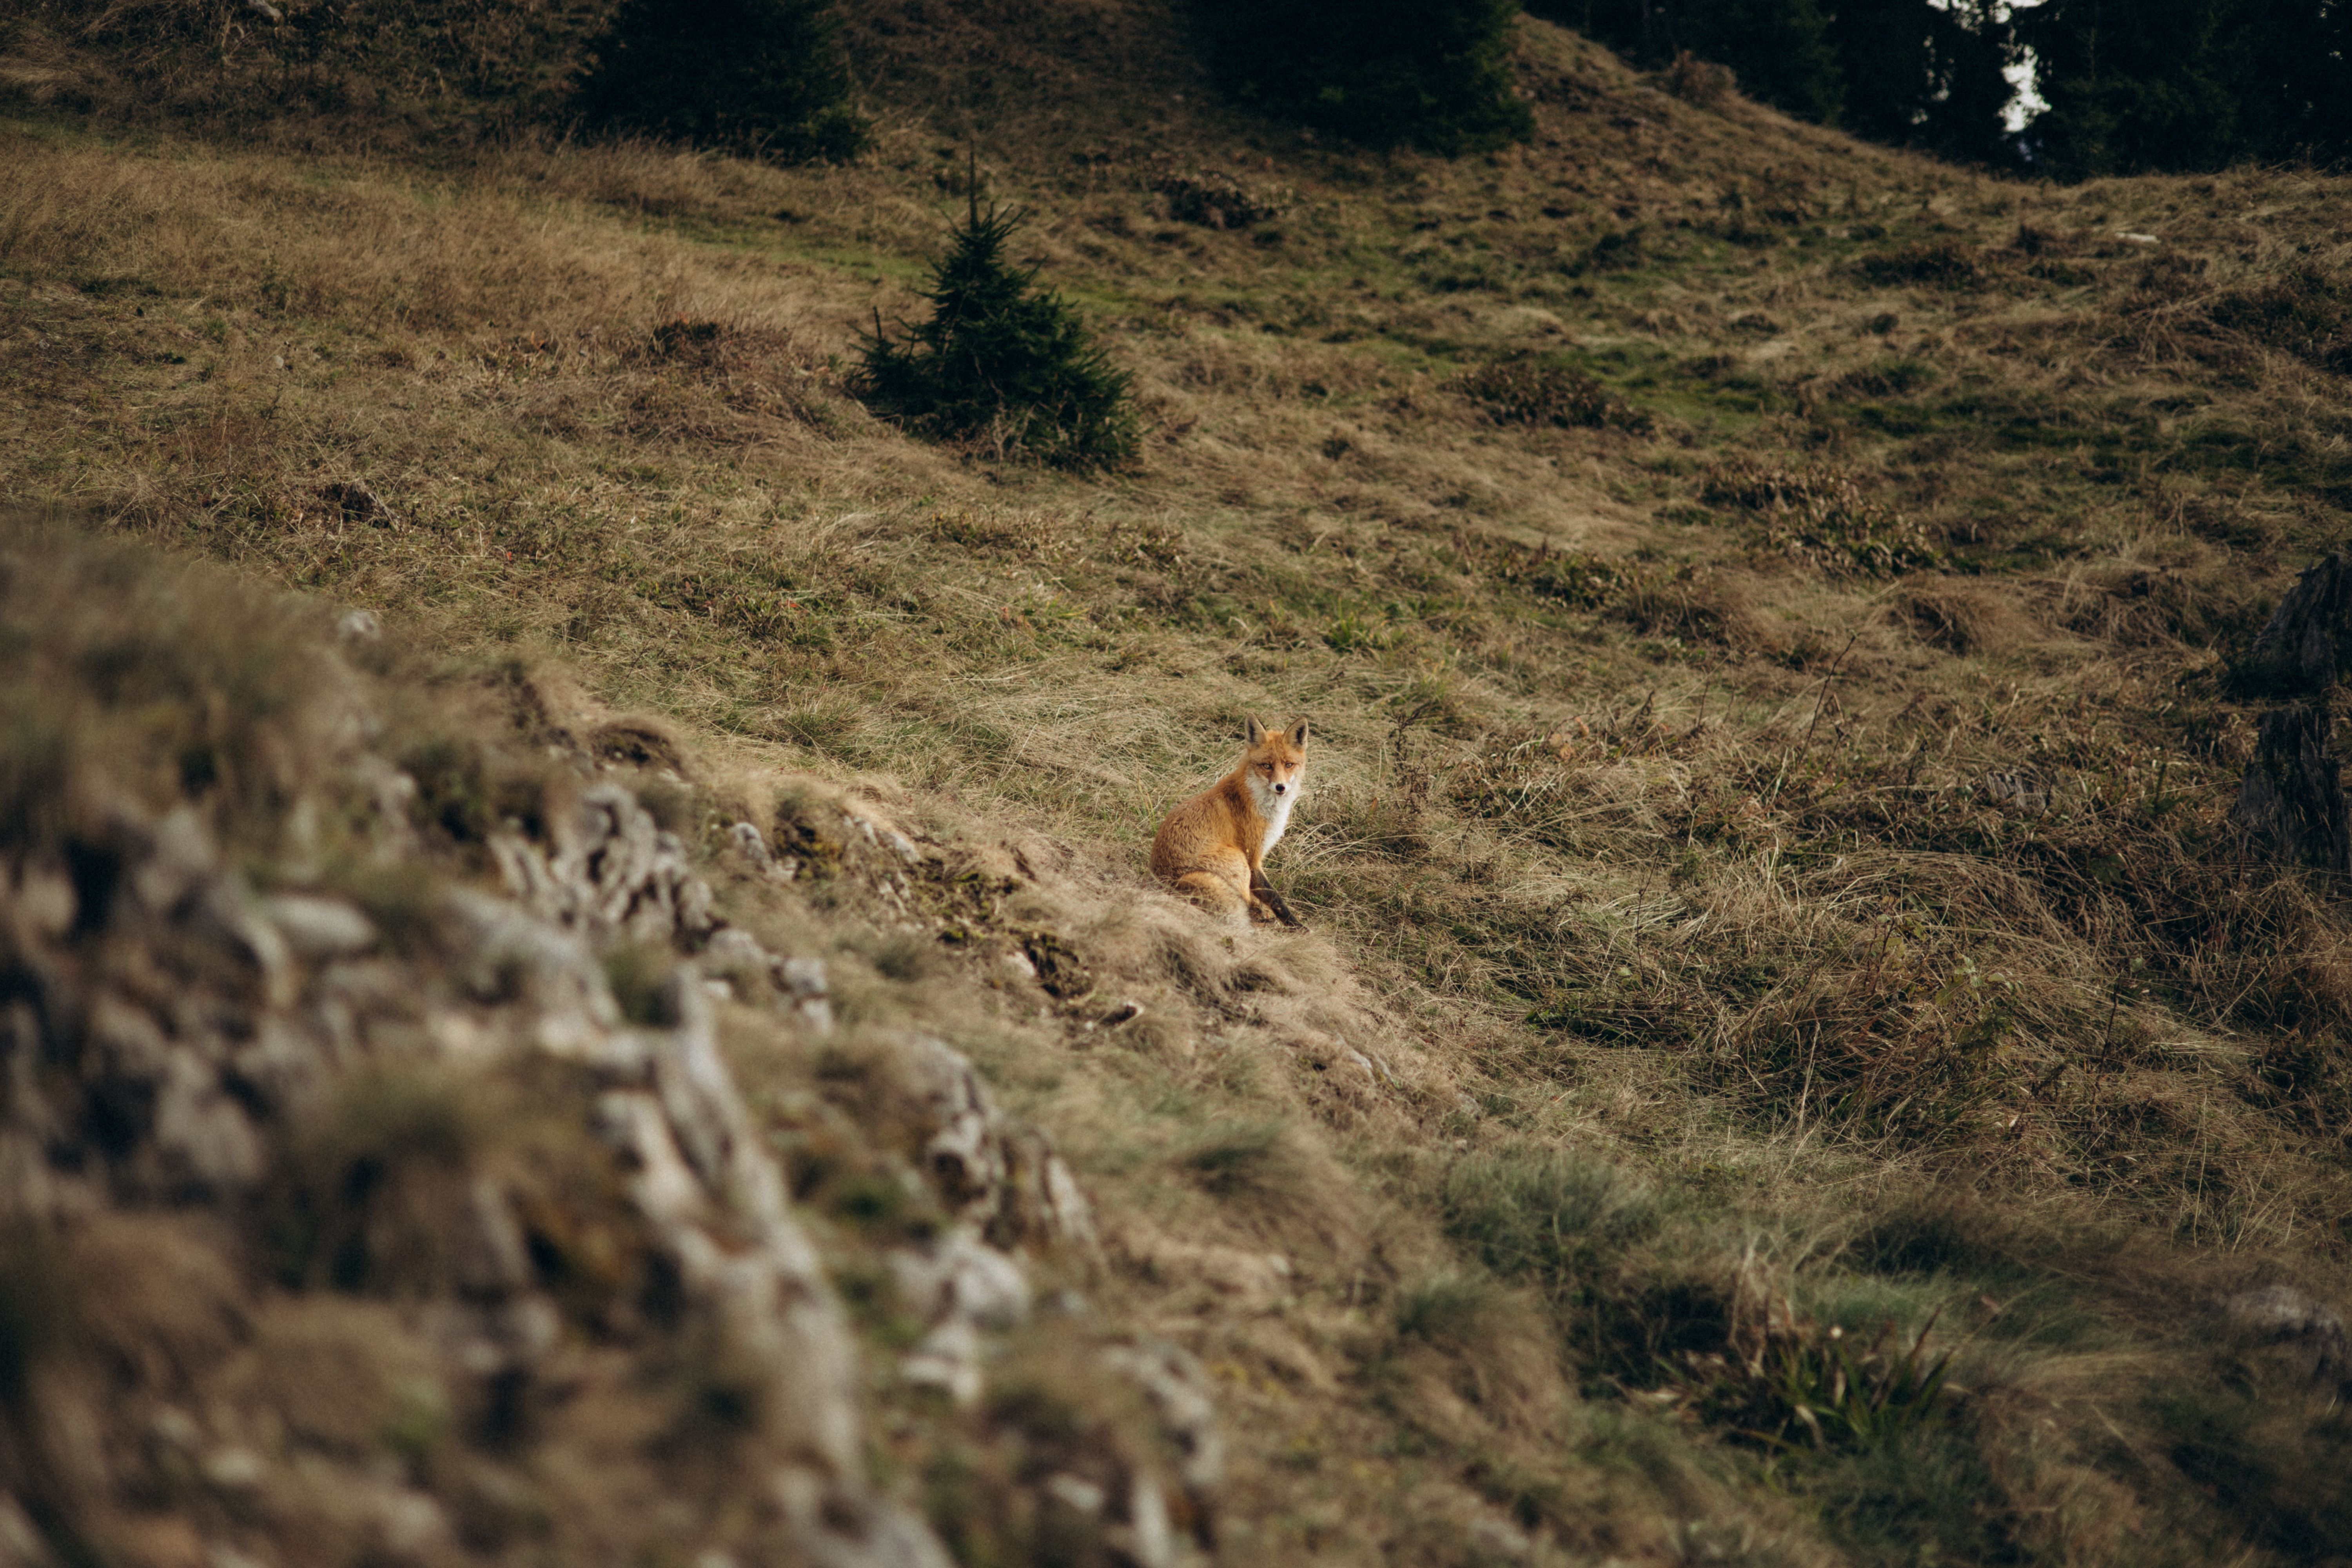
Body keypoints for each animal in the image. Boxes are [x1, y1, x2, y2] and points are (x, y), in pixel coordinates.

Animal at [1151, 715, 1310, 928]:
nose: (1281, 787)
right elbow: (1274, 897)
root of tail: (1168, 885)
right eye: (1267, 766)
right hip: (1238, 862)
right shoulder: (1252, 857)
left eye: (1289, 765)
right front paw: (1297, 927)